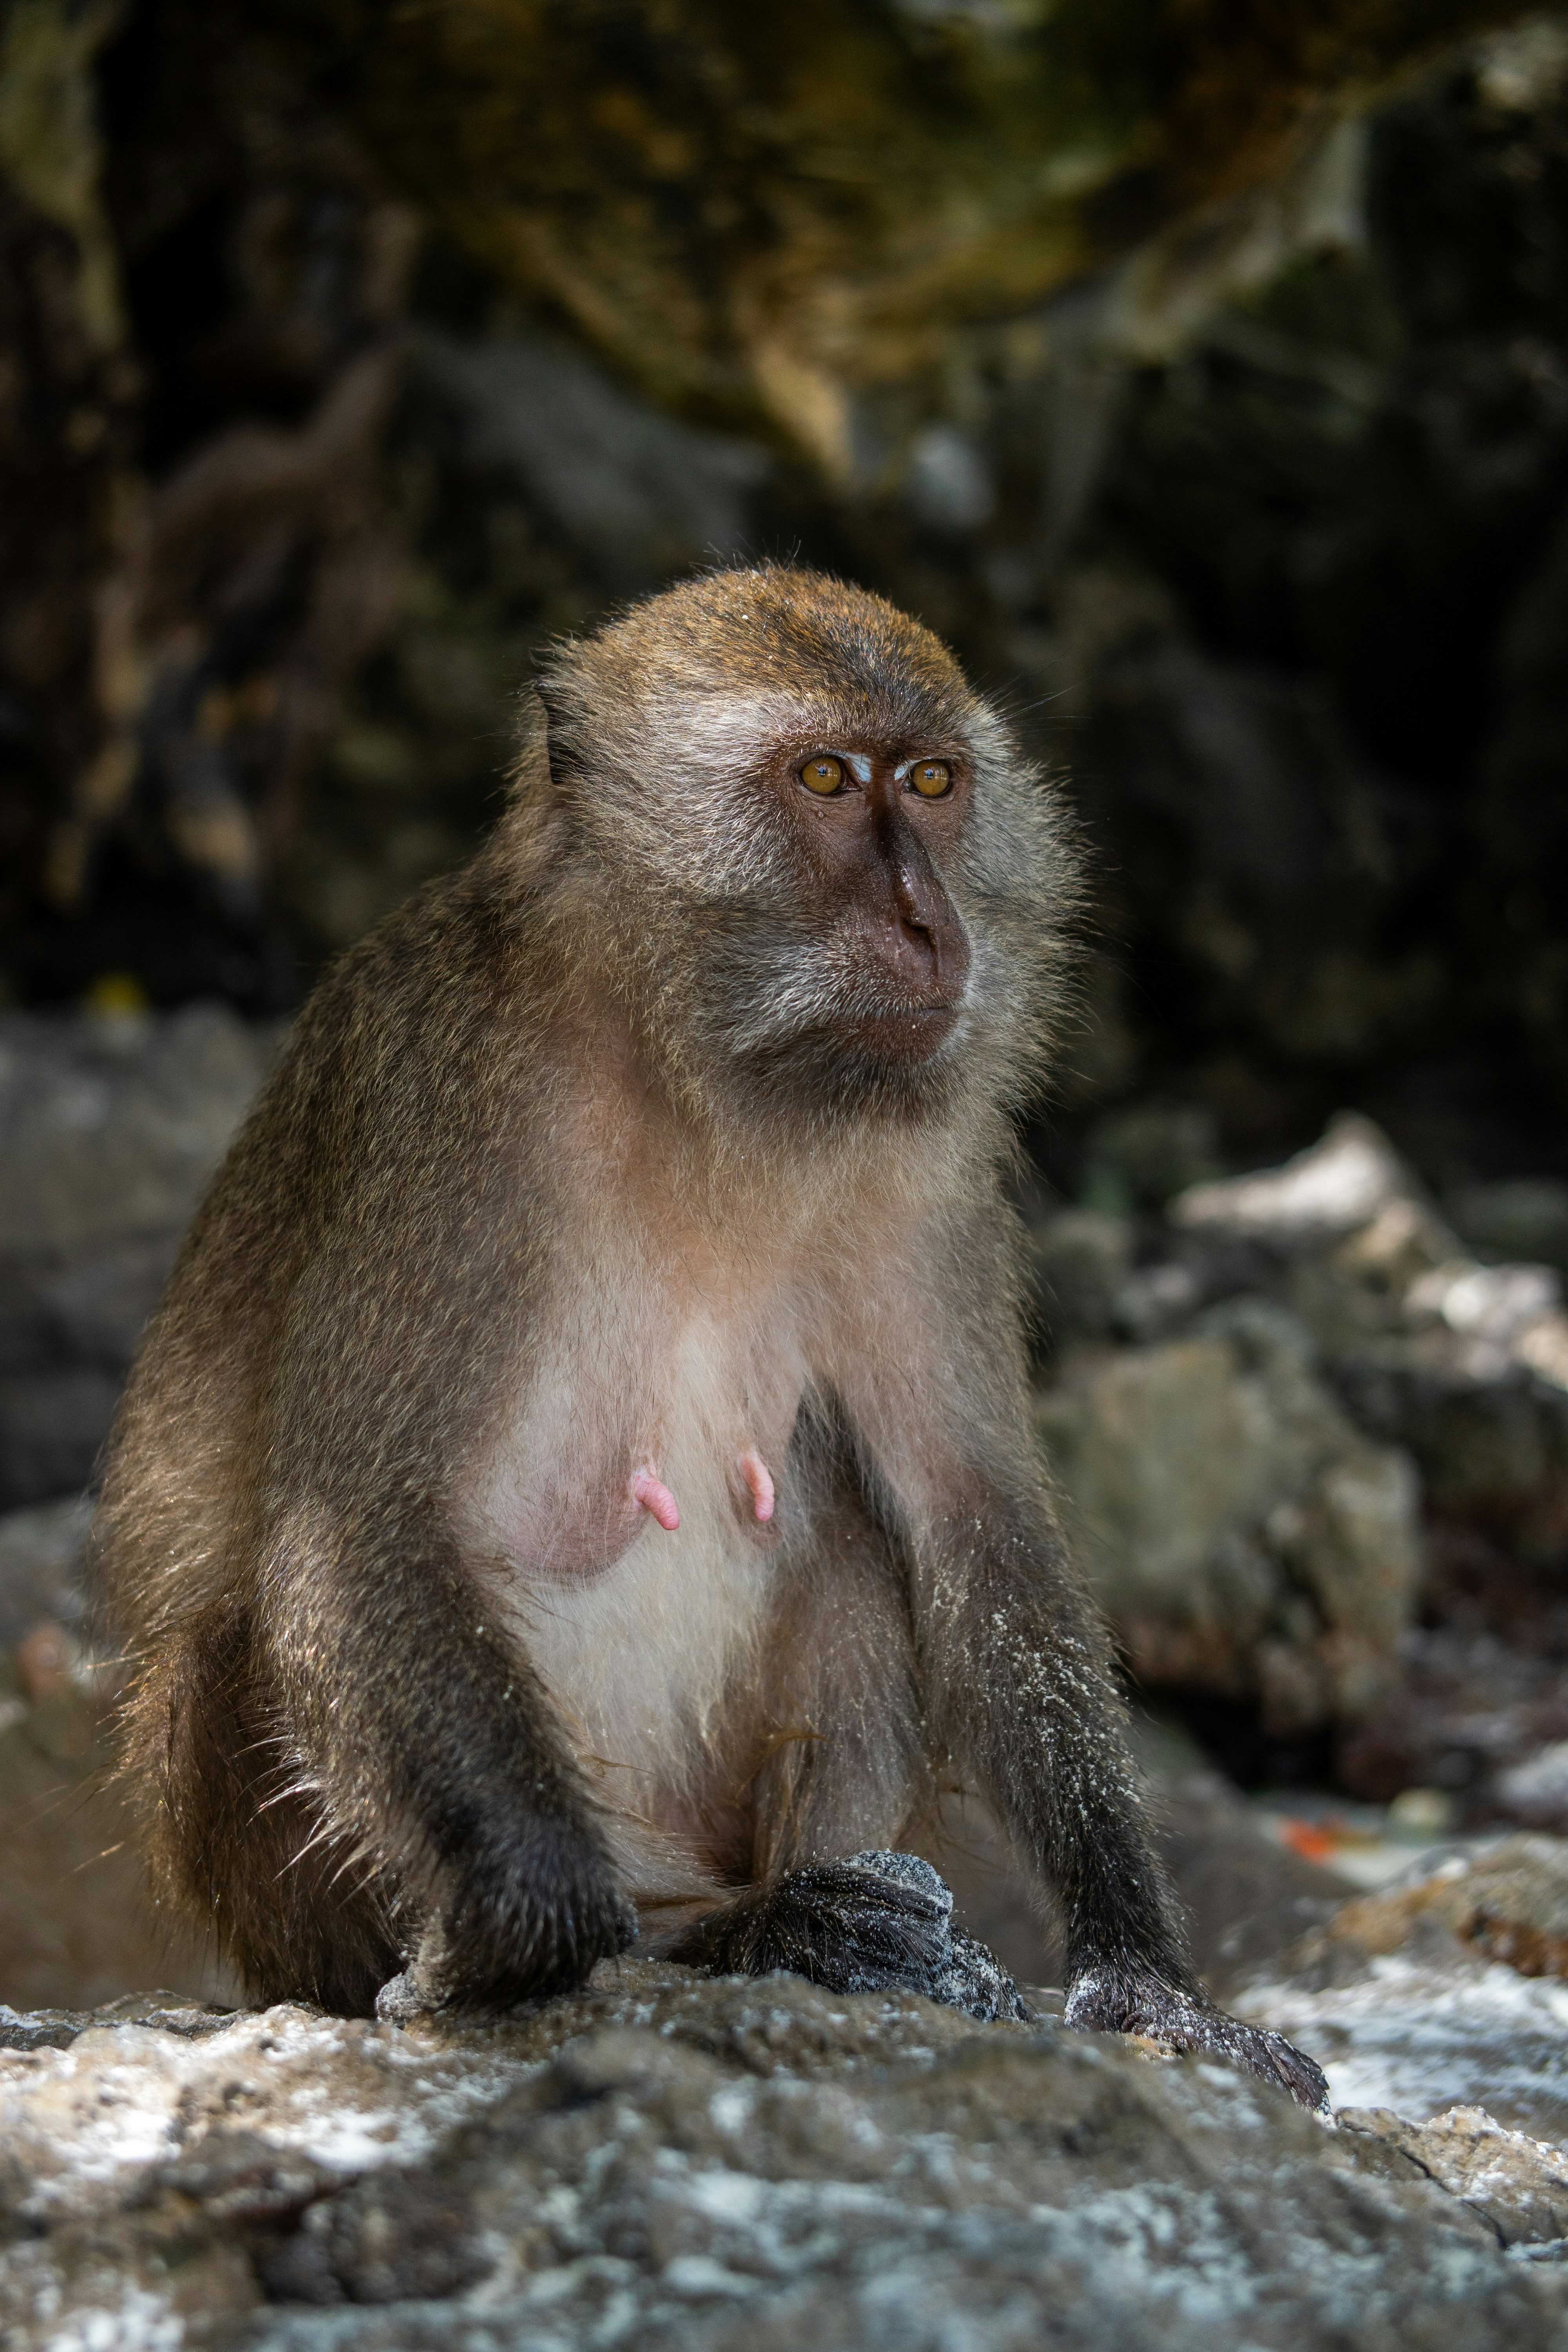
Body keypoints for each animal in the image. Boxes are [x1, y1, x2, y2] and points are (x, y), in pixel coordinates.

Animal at [91, 564, 1326, 2110]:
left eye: (931, 783)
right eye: (822, 778)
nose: (934, 928)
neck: (690, 1073)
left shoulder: (928, 1171)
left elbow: (971, 1515)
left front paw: (1146, 1977)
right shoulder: (441, 1103)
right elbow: (354, 1518)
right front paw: (523, 1931)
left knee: (853, 1529)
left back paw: (792, 1926)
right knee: (224, 1640)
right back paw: (710, 1939)